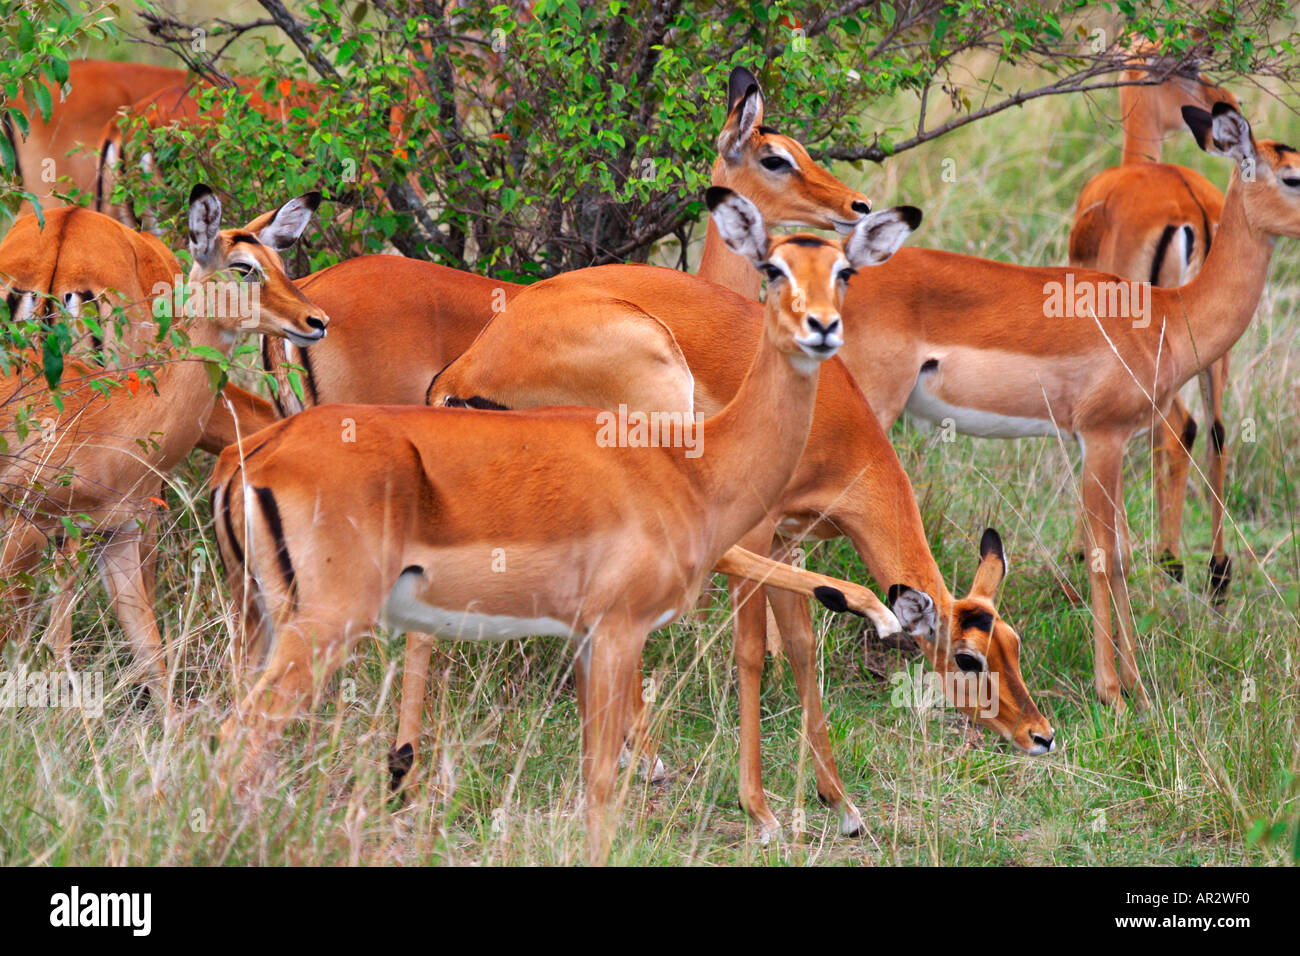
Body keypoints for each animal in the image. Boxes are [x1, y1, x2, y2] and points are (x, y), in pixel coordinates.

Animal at [0, 188, 329, 704]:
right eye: (243, 266)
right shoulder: (29, 527)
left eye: (279, 260)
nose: (316, 320)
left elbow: (151, 653)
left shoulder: (115, 537)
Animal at [209, 188, 916, 862]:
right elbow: (749, 653)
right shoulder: (727, 548)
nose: (821, 329)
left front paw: (836, 803)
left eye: (844, 271)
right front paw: (769, 812)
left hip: (271, 616)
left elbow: (795, 643)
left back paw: (403, 768)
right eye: (773, 268)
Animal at [1069, 48, 1238, 596]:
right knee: (1216, 429)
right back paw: (1217, 572)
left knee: (1178, 428)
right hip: (1214, 350)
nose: (1224, 104)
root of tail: (1195, 211)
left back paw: (1170, 560)